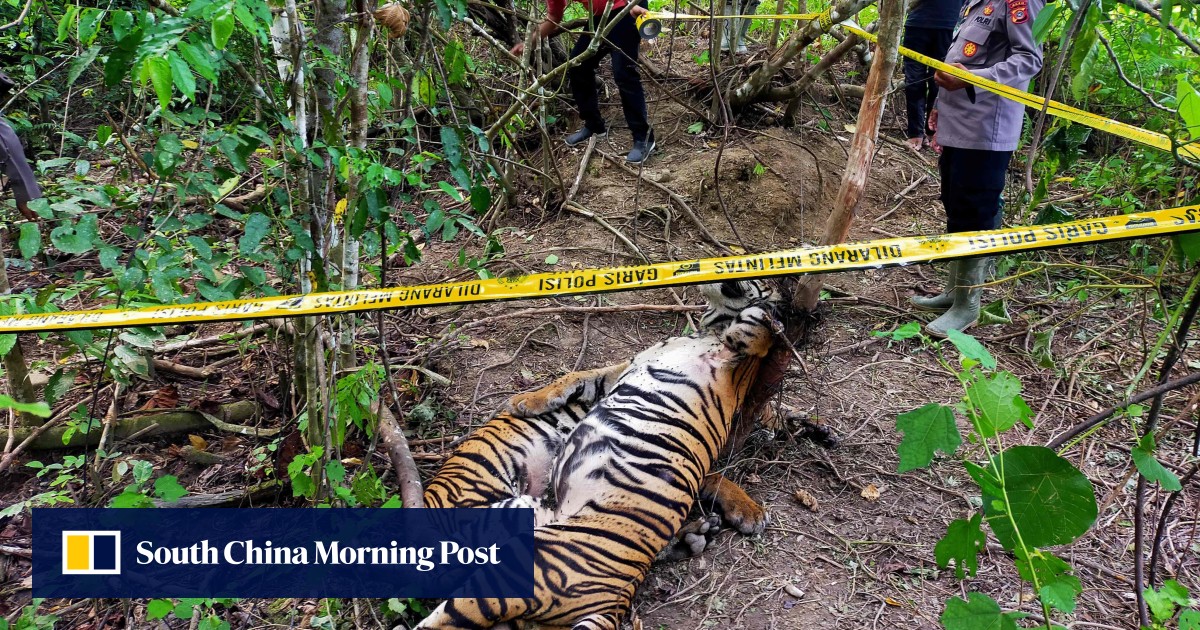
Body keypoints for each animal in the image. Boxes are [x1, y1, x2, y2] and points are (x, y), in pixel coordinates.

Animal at [415, 280, 780, 630]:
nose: (772, 428)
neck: (708, 329)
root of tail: (618, 599)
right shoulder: (629, 366)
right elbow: (573, 377)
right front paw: (526, 401)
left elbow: (760, 340)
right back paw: (694, 536)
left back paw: (694, 537)